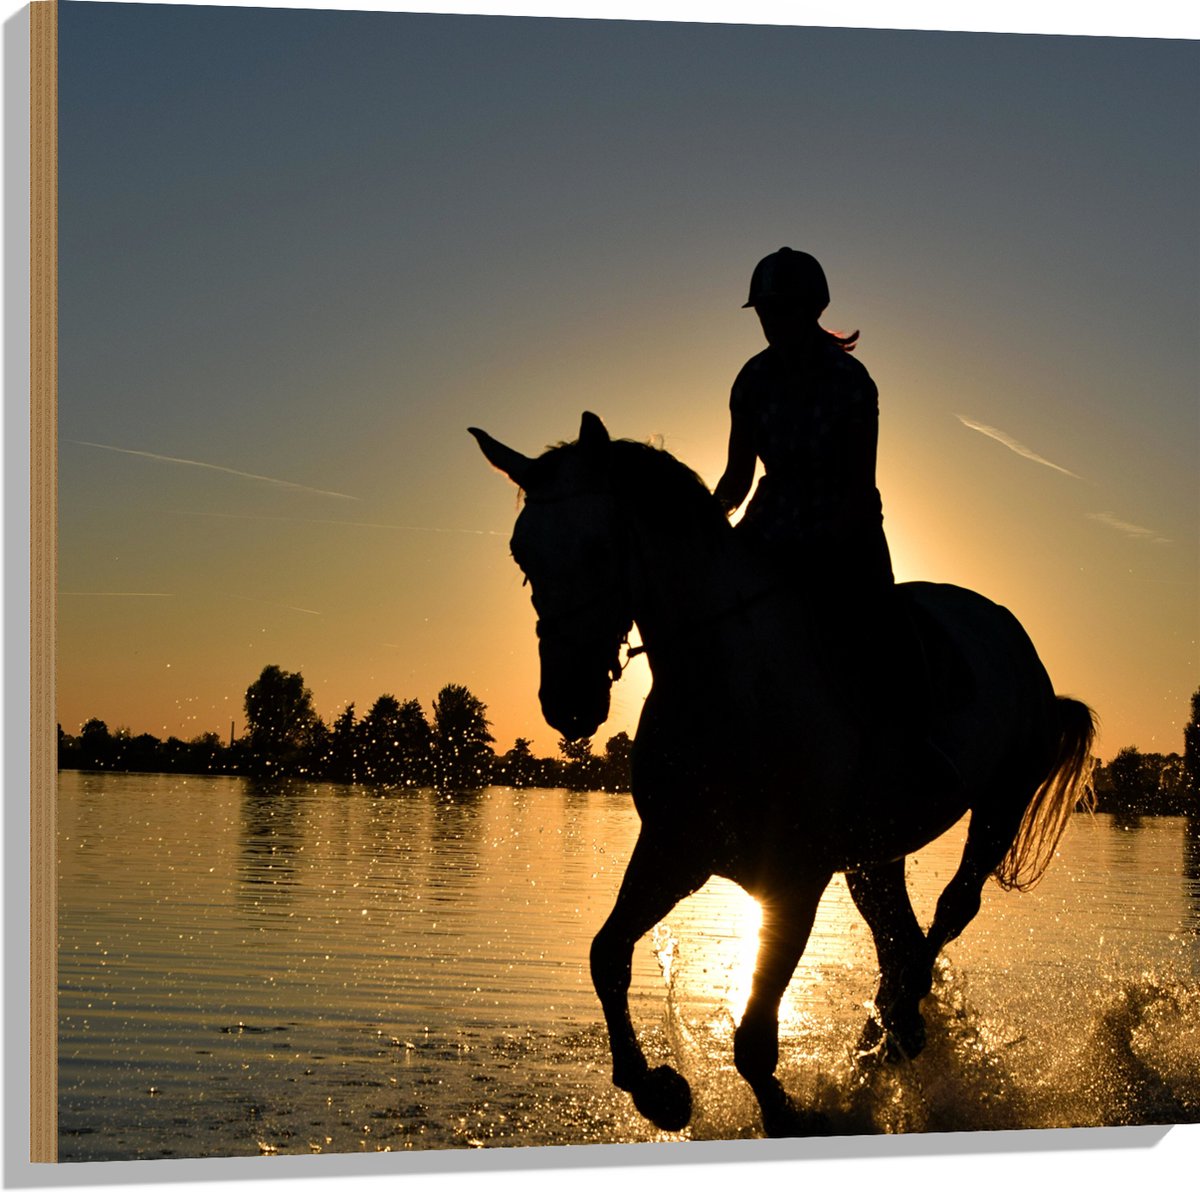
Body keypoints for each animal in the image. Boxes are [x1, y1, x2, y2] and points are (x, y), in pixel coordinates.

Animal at [470, 411, 1095, 1136]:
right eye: (522, 554)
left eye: (600, 550)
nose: (568, 703)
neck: (732, 684)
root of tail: (1008, 630)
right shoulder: (675, 851)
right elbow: (607, 955)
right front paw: (659, 1091)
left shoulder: (793, 879)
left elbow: (754, 1039)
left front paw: (792, 1116)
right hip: (873, 856)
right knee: (898, 939)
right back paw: (889, 1039)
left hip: (999, 805)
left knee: (947, 915)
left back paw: (894, 1031)